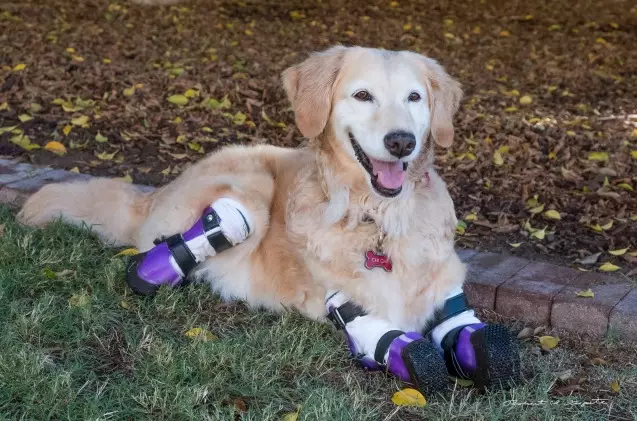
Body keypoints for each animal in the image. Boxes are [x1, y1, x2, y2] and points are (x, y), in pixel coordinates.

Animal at [16, 45, 462, 332]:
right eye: (363, 95)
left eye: (414, 97)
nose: (401, 141)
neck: (380, 216)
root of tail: (152, 196)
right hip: (252, 187)